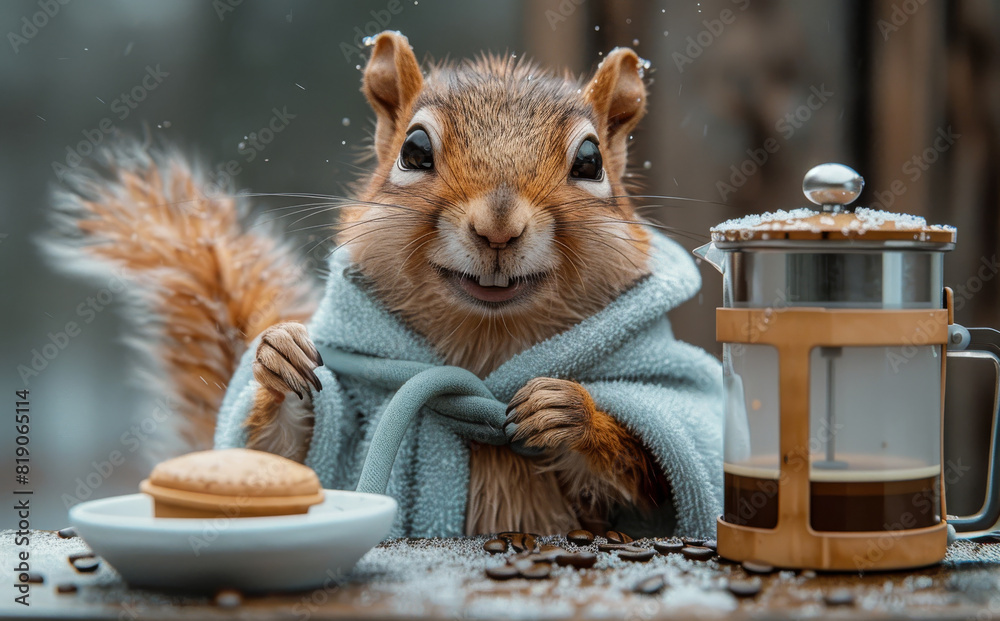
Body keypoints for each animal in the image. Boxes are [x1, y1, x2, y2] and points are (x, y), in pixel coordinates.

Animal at [46, 31, 672, 535]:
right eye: (414, 150)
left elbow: (649, 489)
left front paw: (569, 412)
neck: (485, 341)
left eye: (590, 161)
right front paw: (279, 355)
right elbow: (288, 461)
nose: (498, 227)